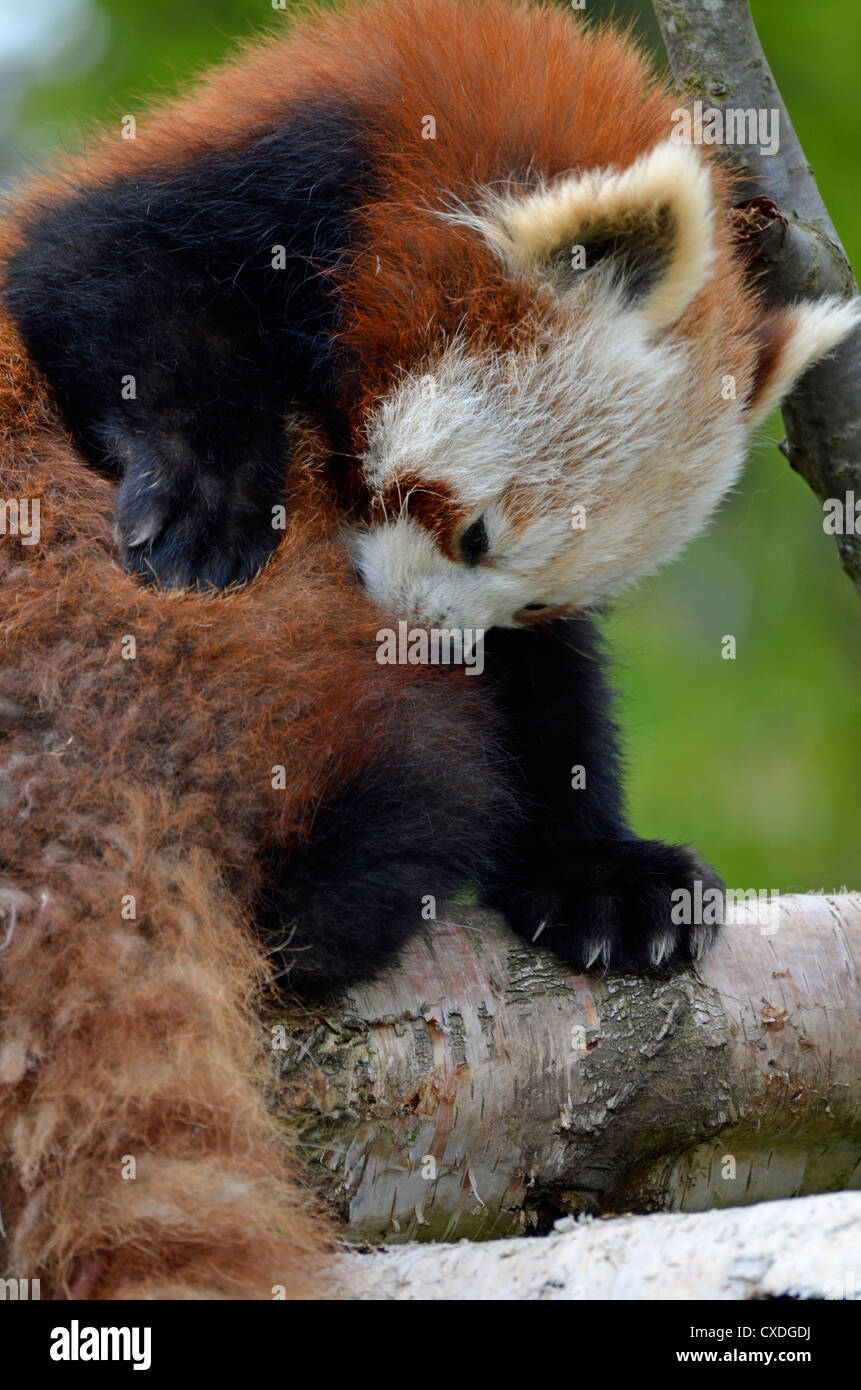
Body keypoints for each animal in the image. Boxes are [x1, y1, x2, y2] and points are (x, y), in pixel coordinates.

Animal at [0, 0, 856, 1300]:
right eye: (473, 528)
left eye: (526, 593)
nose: (438, 645)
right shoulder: (263, 167)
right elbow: (96, 277)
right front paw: (207, 488)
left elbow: (553, 695)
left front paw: (600, 873)